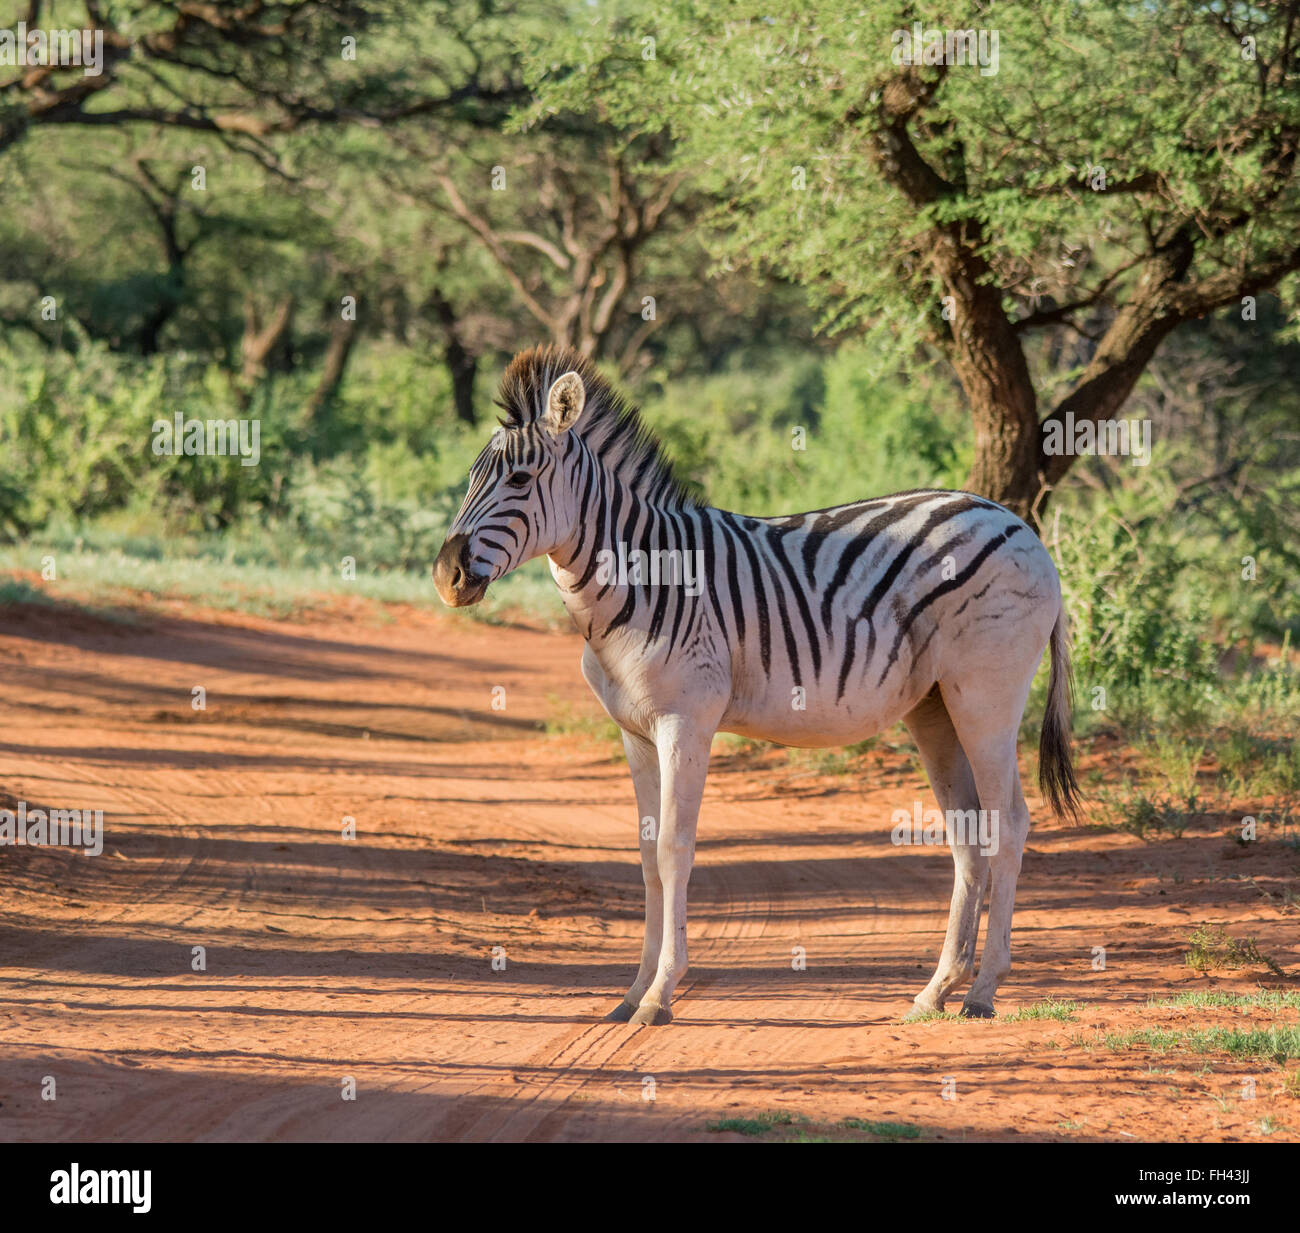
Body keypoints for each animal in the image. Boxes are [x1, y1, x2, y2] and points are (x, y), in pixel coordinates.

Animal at [434, 345, 1080, 1025]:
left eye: (519, 480)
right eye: (471, 478)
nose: (446, 576)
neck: (638, 581)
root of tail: (1021, 528)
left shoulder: (686, 723)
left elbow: (673, 849)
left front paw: (660, 995)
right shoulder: (634, 734)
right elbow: (644, 858)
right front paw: (631, 993)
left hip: (986, 696)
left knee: (1010, 822)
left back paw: (983, 991)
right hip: (934, 708)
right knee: (968, 834)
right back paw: (937, 990)